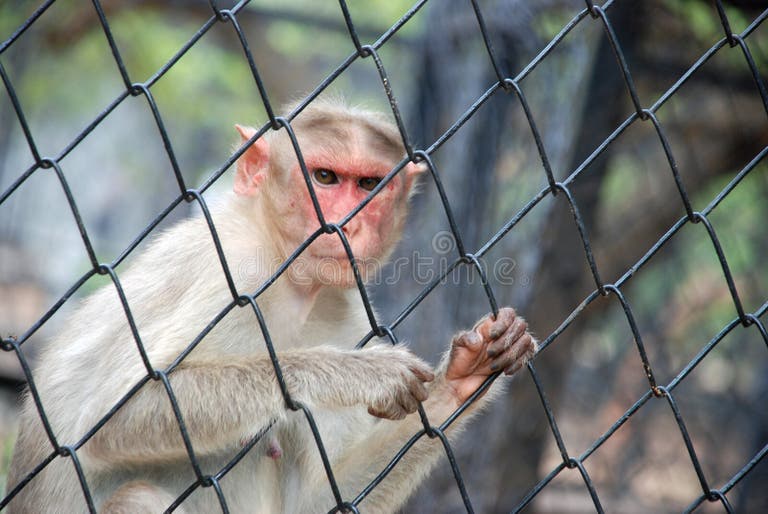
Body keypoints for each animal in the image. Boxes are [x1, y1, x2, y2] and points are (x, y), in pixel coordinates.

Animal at [5, 99, 537, 514]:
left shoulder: (341, 308)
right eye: (324, 177)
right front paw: (358, 374)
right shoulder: (233, 274)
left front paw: (468, 373)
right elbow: (116, 418)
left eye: (368, 185)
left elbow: (321, 501)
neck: (288, 273)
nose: (347, 222)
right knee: (139, 494)